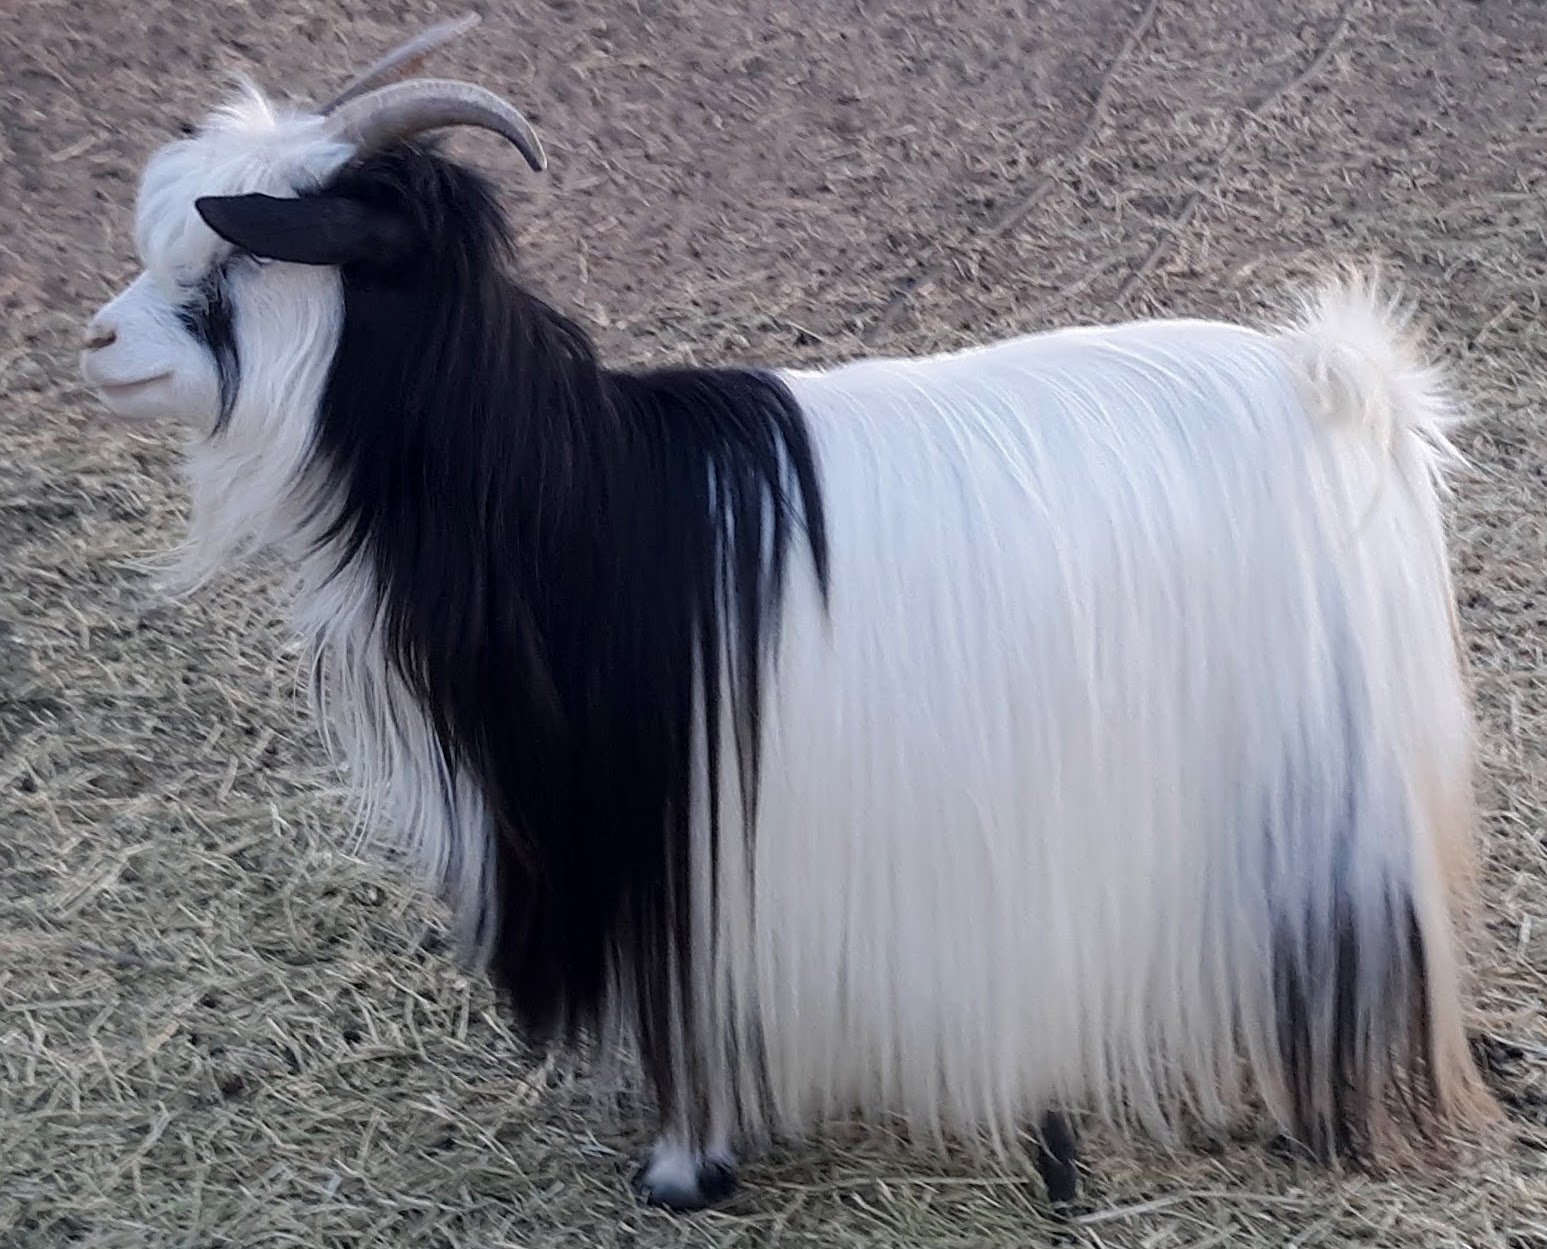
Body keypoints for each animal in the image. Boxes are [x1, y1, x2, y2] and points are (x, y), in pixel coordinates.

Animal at [80, 20, 1502, 1214]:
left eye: (245, 249)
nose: (96, 344)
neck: (567, 503)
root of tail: (1336, 384)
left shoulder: (669, 835)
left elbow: (682, 1015)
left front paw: (682, 1166)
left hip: (1326, 781)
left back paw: (1328, 1123)